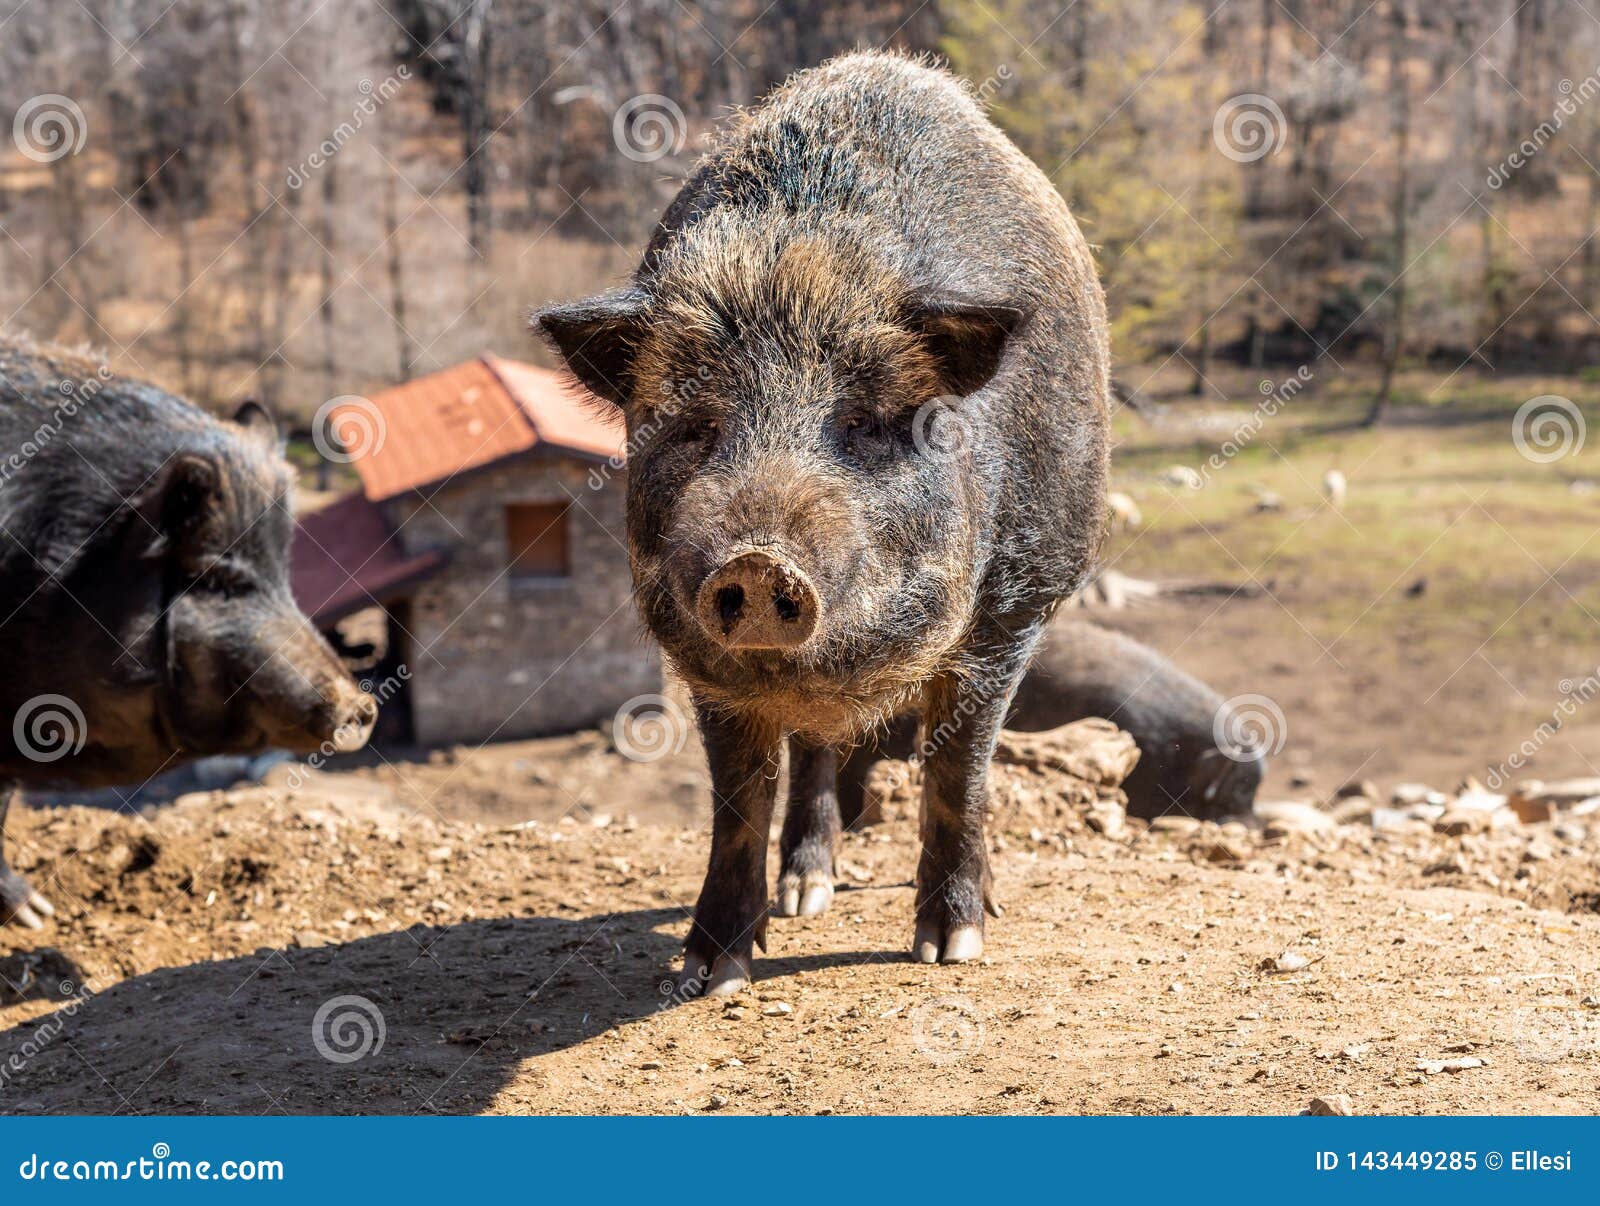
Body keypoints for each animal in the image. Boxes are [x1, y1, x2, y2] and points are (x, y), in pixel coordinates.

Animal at [537, 51, 1110, 994]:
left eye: (866, 422)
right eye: (695, 425)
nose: (758, 560)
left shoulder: (1012, 611)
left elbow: (959, 767)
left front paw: (950, 947)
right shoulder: (703, 666)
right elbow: (738, 795)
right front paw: (710, 972)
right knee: (811, 751)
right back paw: (806, 894)